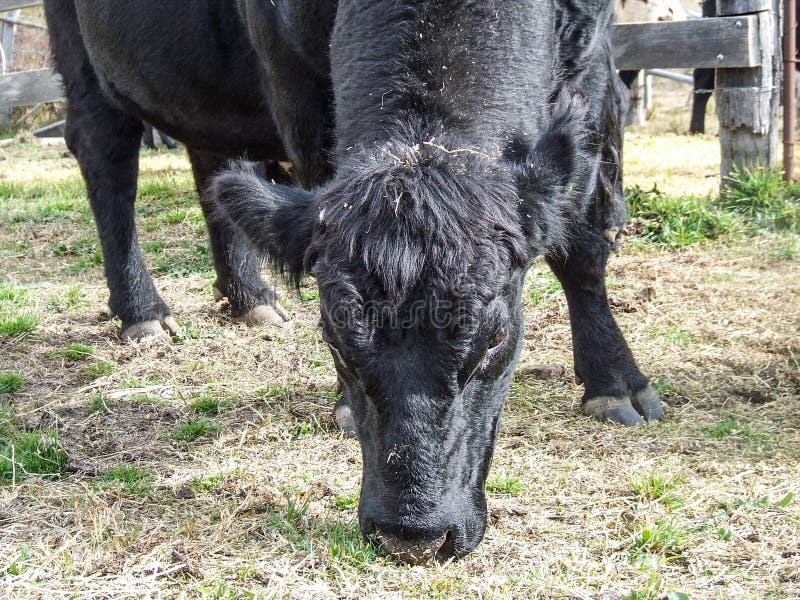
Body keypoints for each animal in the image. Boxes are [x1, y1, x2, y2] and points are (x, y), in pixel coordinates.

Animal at [47, 0, 662, 562]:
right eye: (333, 340)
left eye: (496, 340)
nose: (412, 535)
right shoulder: (300, 92)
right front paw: (344, 403)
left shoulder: (590, 59)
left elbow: (579, 242)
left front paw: (615, 381)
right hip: (85, 65)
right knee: (105, 155)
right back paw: (143, 311)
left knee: (211, 161)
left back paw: (251, 298)